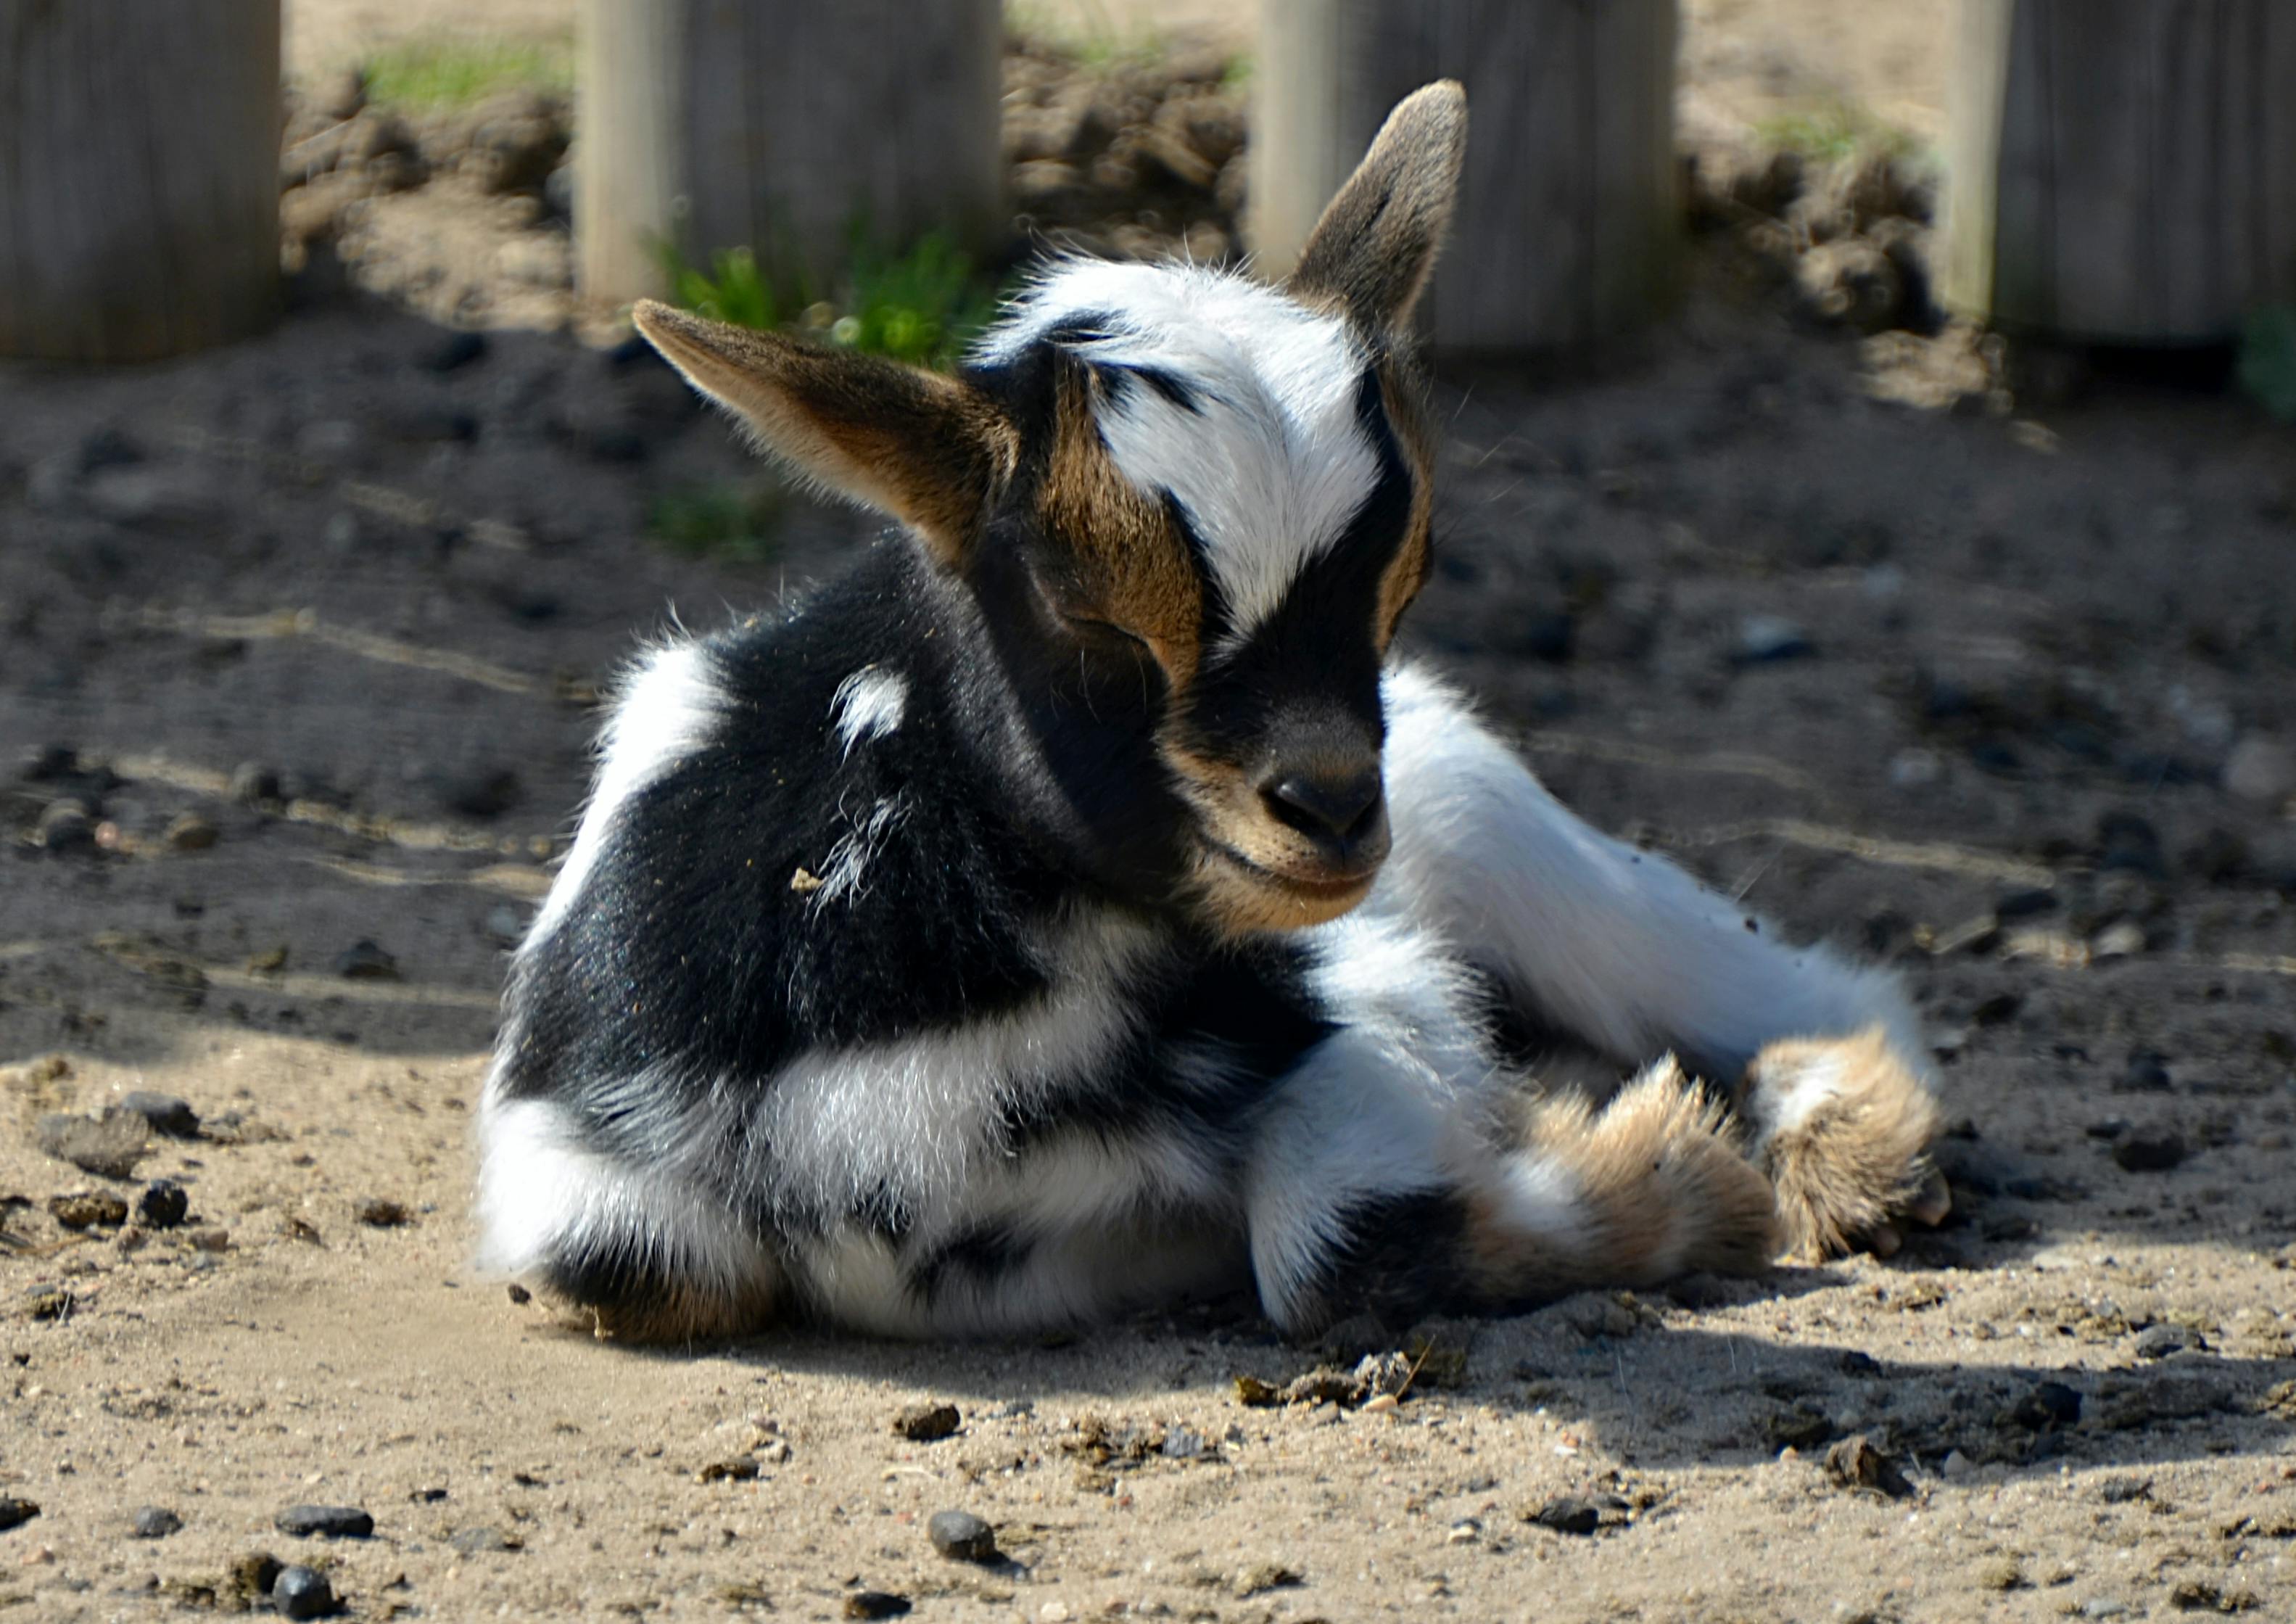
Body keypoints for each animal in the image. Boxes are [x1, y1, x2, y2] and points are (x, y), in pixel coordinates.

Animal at [475, 82, 1947, 1343]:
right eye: (1090, 614)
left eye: (1403, 583)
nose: (1336, 810)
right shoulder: (580, 1180)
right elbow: (648, 1271)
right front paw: (1667, 1154)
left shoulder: (1361, 1005)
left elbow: (1324, 1241)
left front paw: (1676, 1162)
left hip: (1501, 832)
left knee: (1781, 978)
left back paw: (1852, 1150)